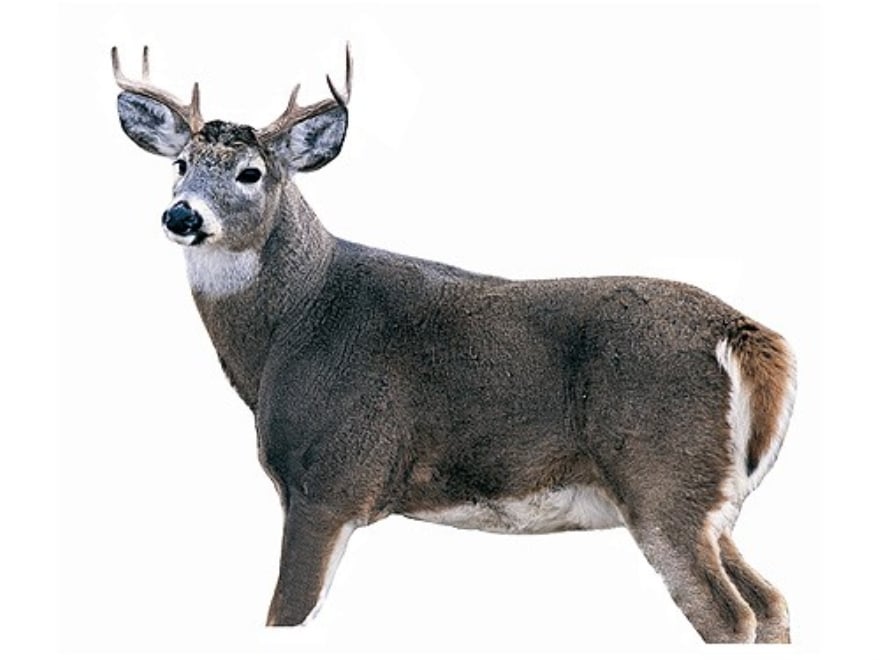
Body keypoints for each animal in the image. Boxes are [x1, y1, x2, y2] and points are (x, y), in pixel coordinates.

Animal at [111, 44, 796, 643]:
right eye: (180, 165)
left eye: (250, 173)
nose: (182, 215)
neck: (293, 327)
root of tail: (747, 334)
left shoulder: (330, 479)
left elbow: (284, 615)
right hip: (708, 499)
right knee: (771, 601)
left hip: (662, 477)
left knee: (729, 616)